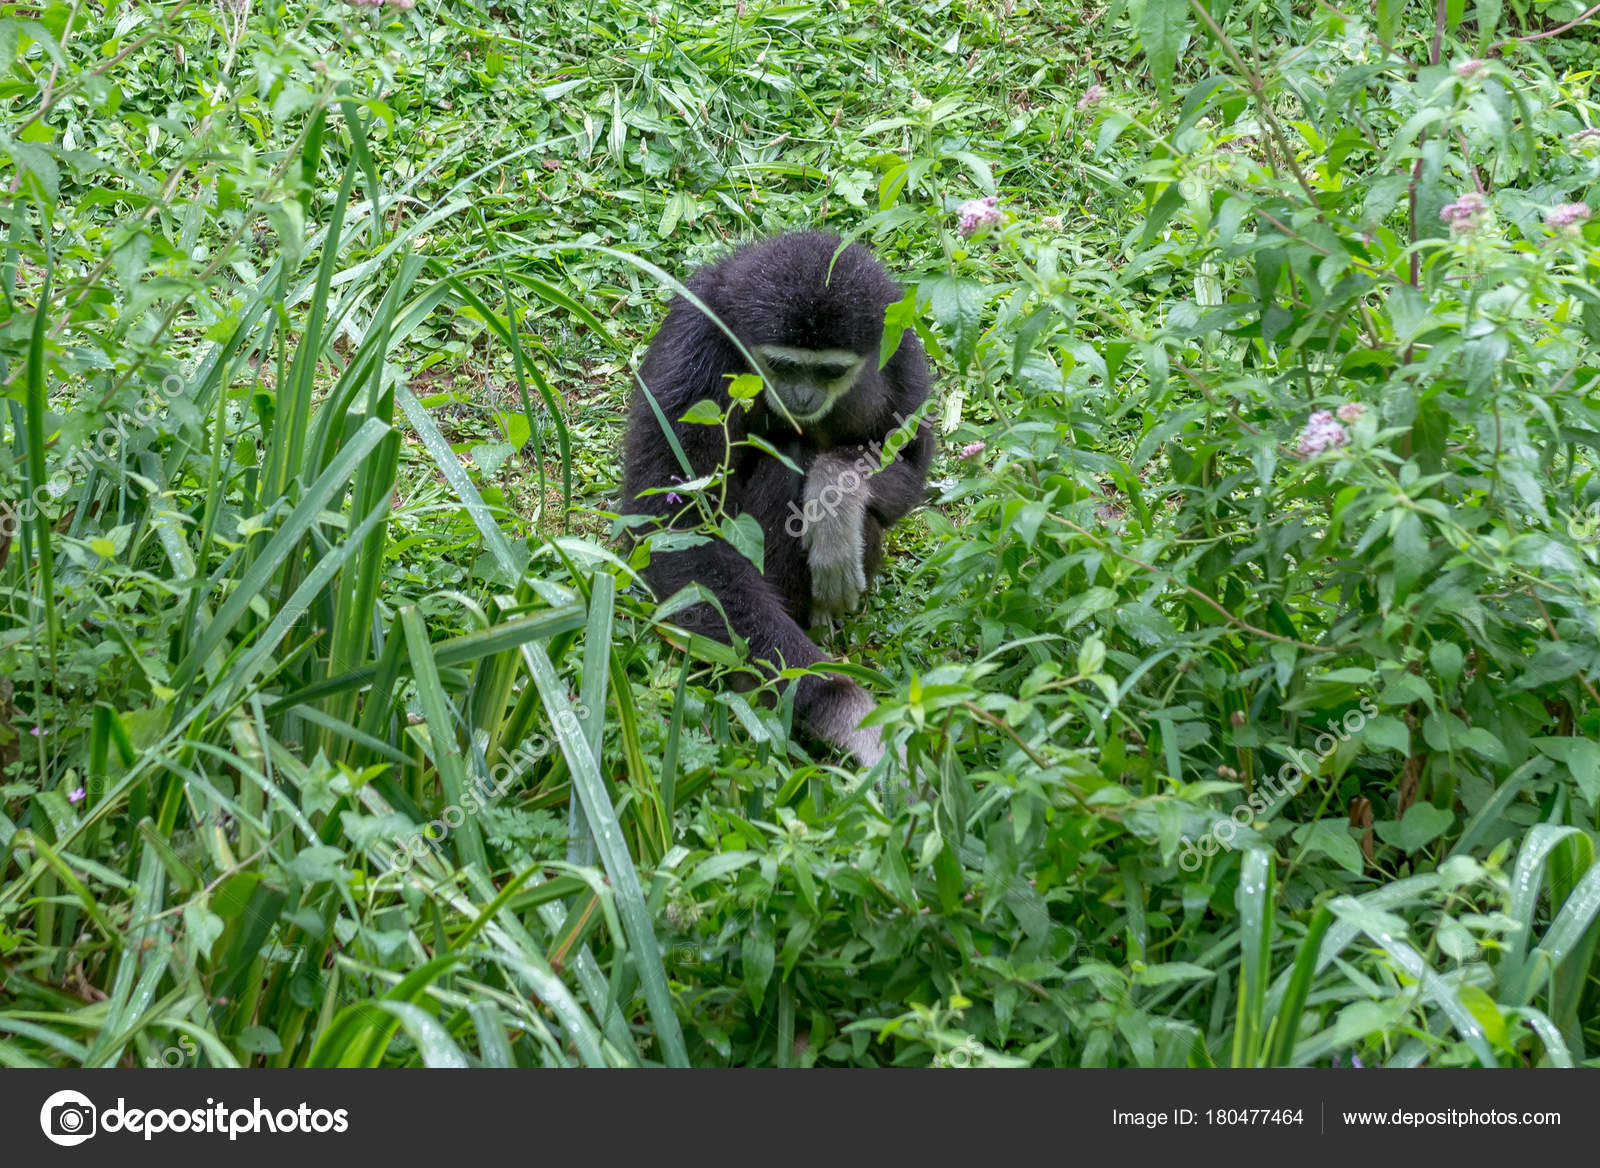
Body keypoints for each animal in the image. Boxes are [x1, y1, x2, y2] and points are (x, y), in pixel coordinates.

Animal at [621, 231, 933, 768]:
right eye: (784, 365)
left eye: (828, 372)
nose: (802, 396)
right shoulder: (696, 332)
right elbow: (671, 525)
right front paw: (844, 707)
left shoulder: (899, 342)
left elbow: (914, 461)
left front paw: (834, 492)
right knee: (789, 452)